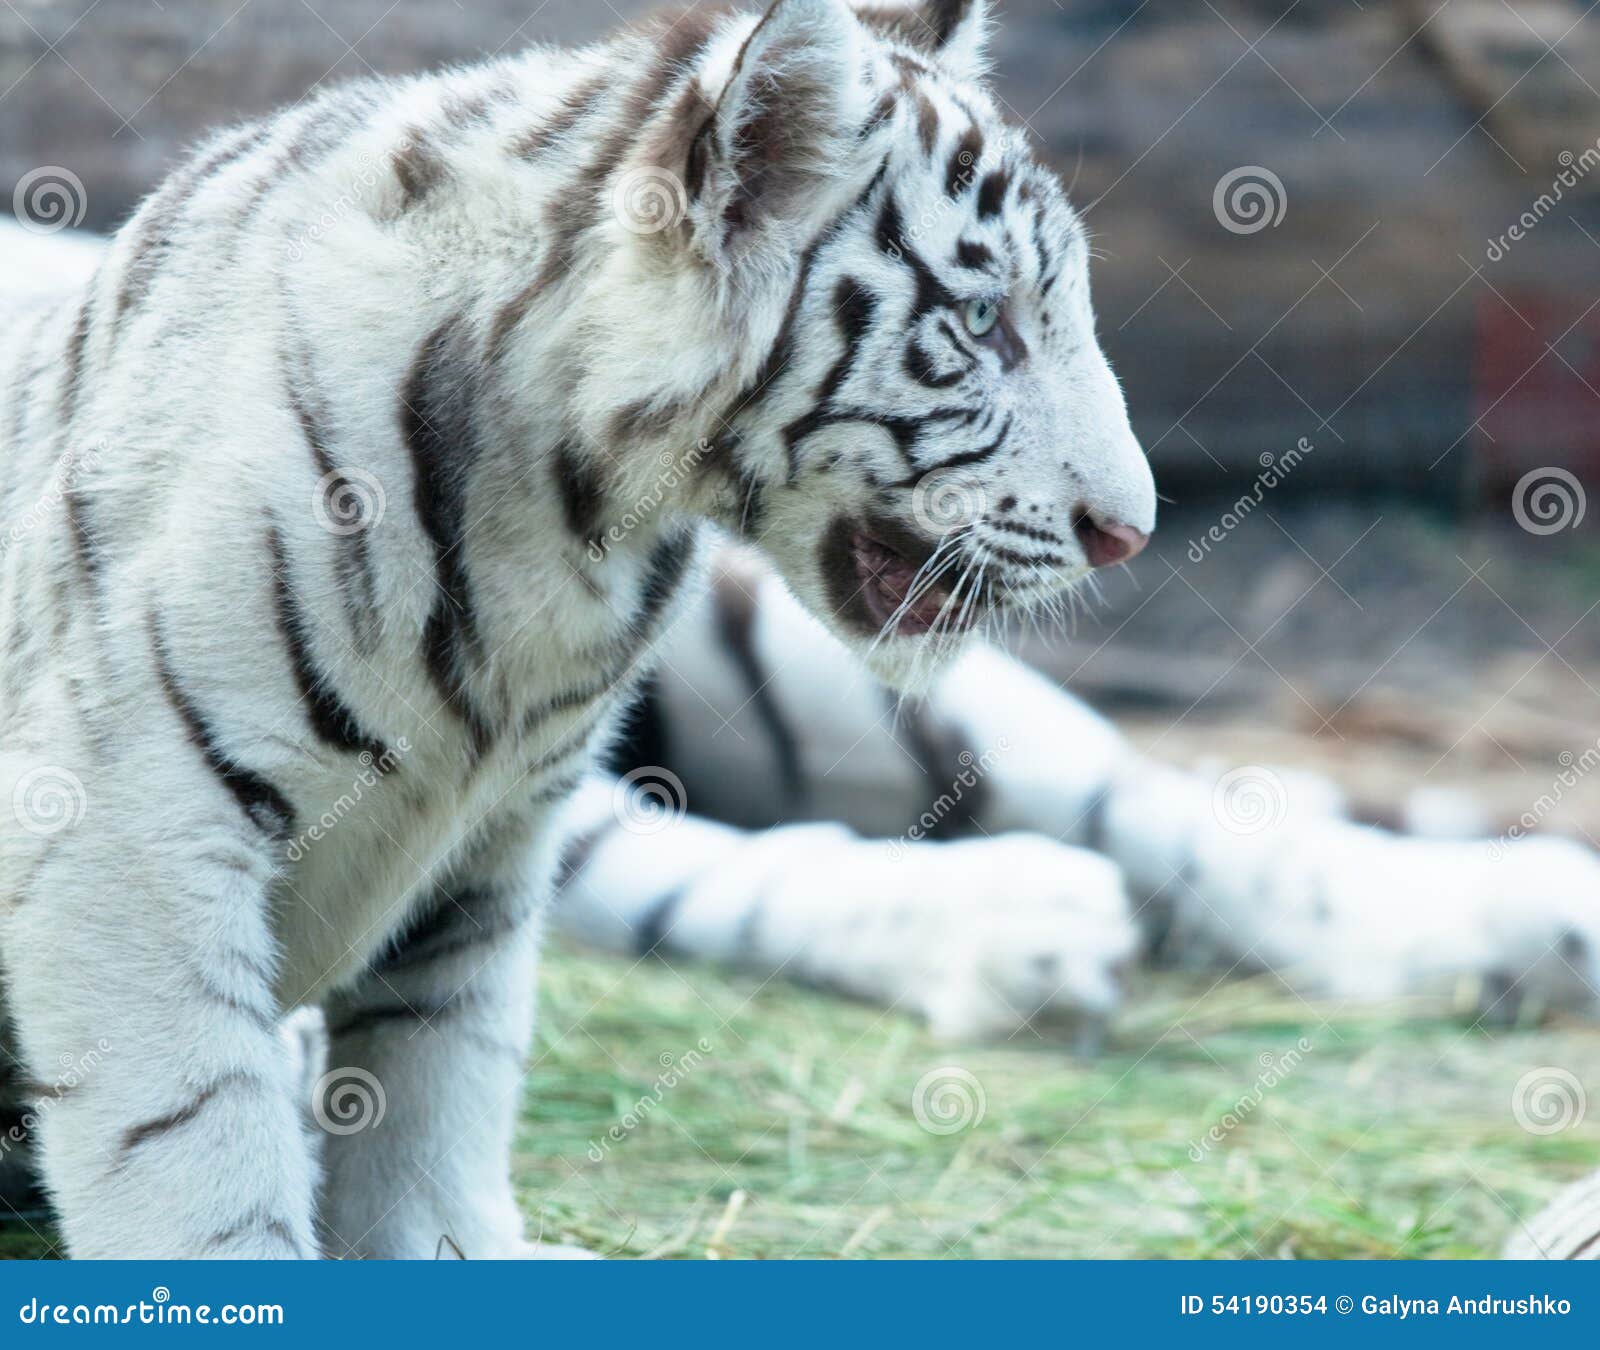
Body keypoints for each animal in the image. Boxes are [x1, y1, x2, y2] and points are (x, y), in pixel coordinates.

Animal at [0, 0, 1158, 1258]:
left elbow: (441, 1073)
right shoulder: (136, 820)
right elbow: (196, 1142)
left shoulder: (496, 837)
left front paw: (448, 1242)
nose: (1130, 532)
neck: (570, 526)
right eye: (983, 323)